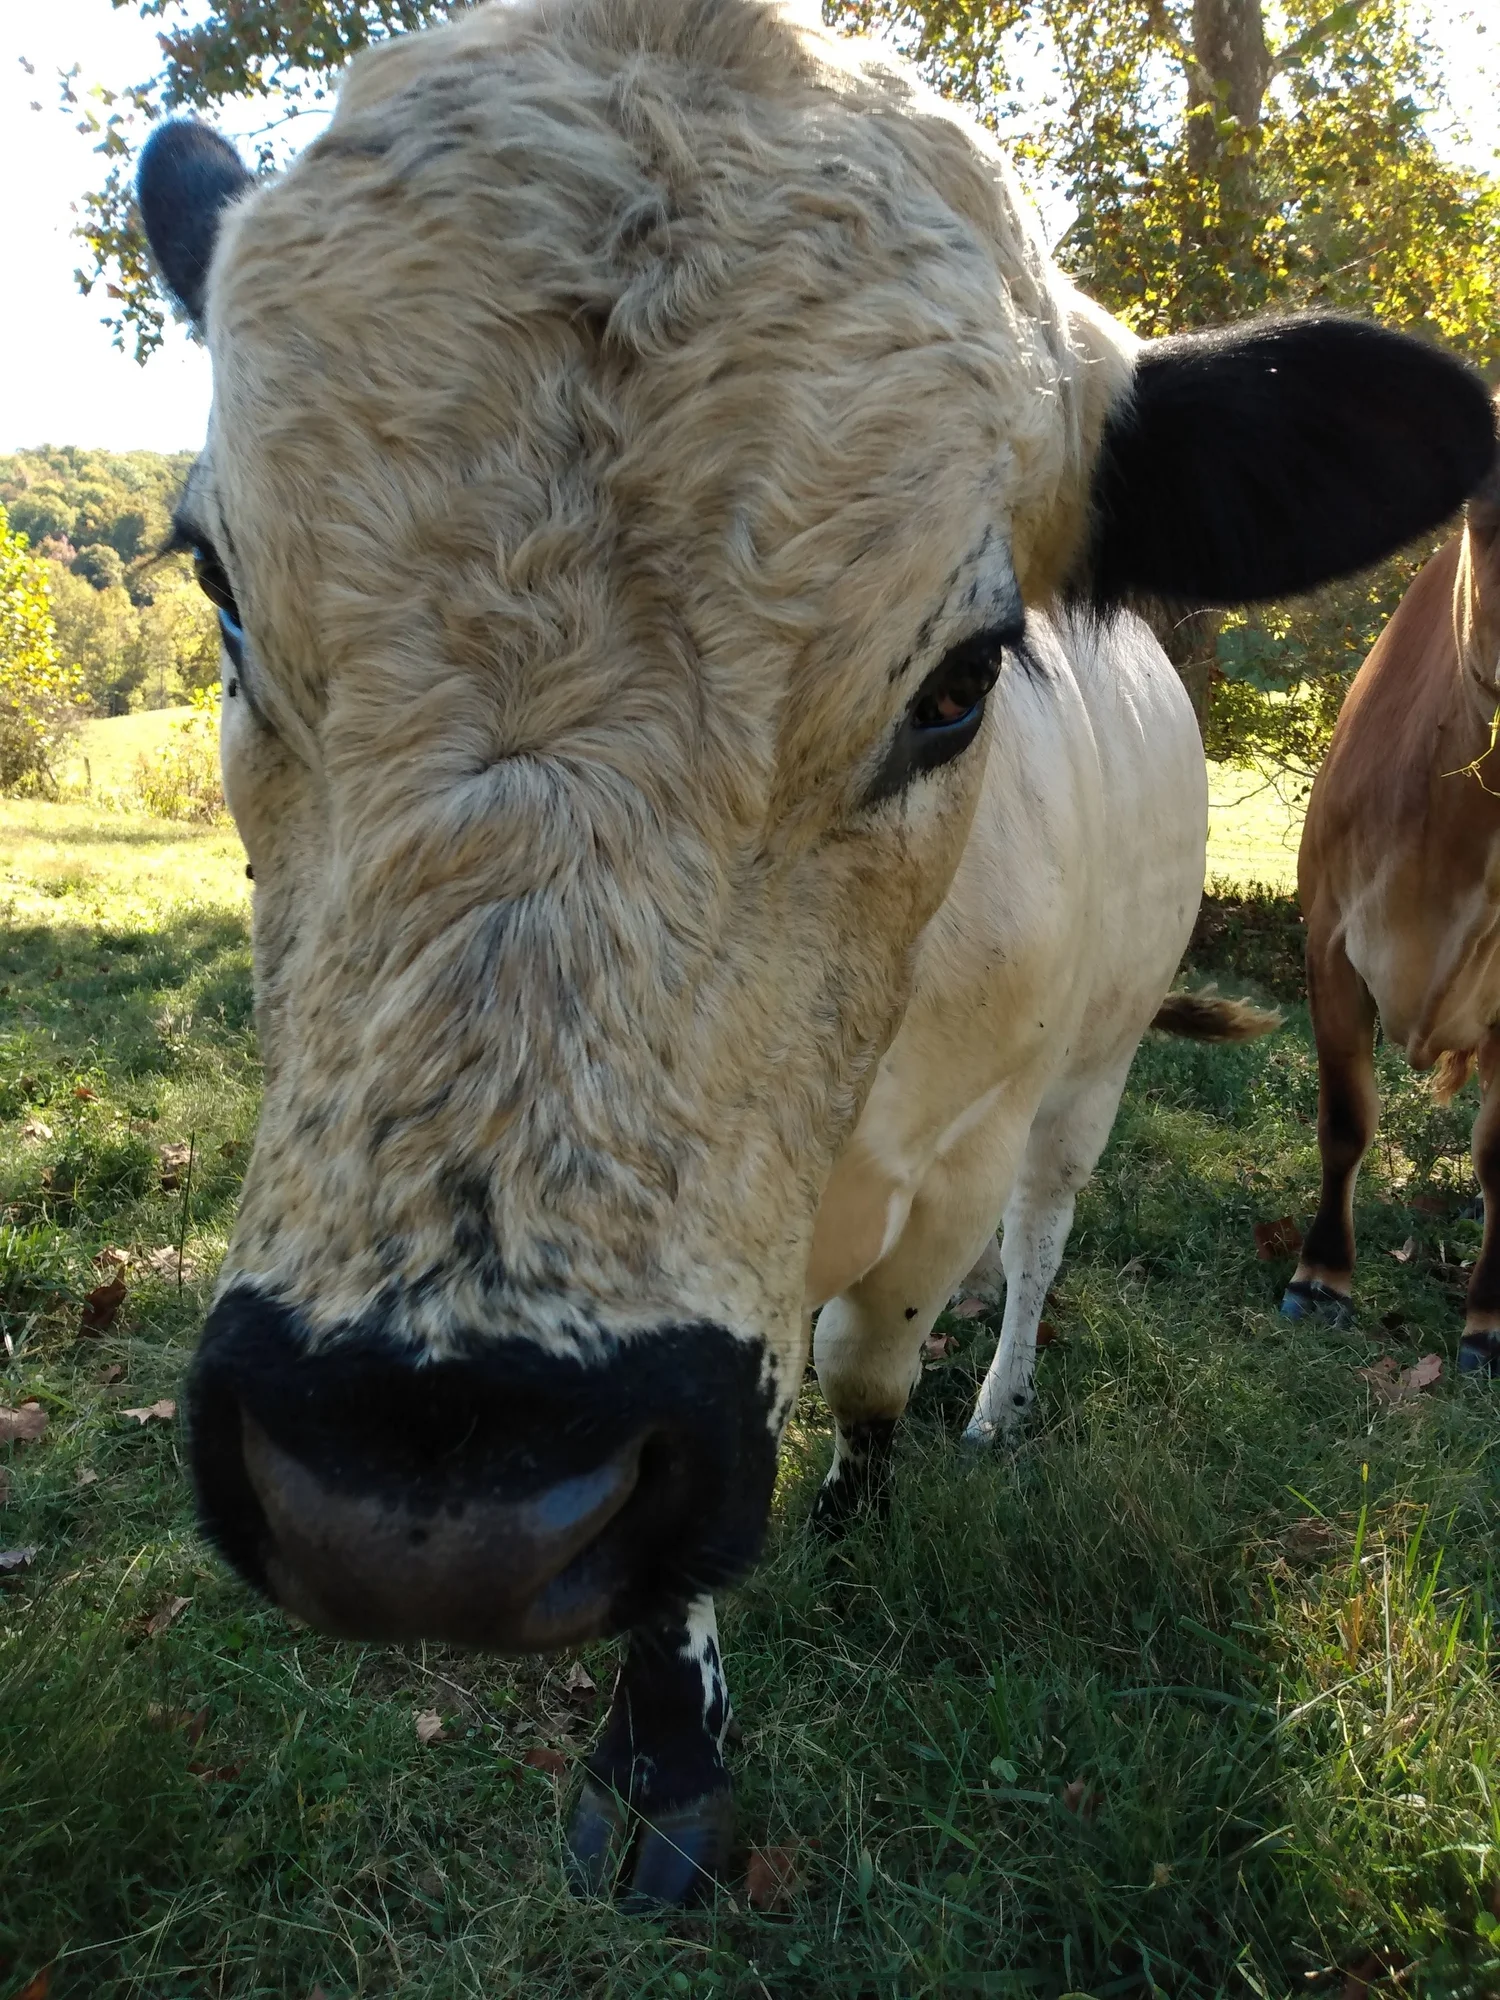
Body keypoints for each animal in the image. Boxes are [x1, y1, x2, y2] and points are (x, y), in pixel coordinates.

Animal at [134, 0, 1497, 1907]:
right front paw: (661, 1761)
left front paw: (872, 1490)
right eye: (221, 590)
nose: (424, 1523)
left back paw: (1000, 1395)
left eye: (962, 678)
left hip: (1093, 1069)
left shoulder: (952, 1157)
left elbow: (867, 1364)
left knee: (1043, 1236)